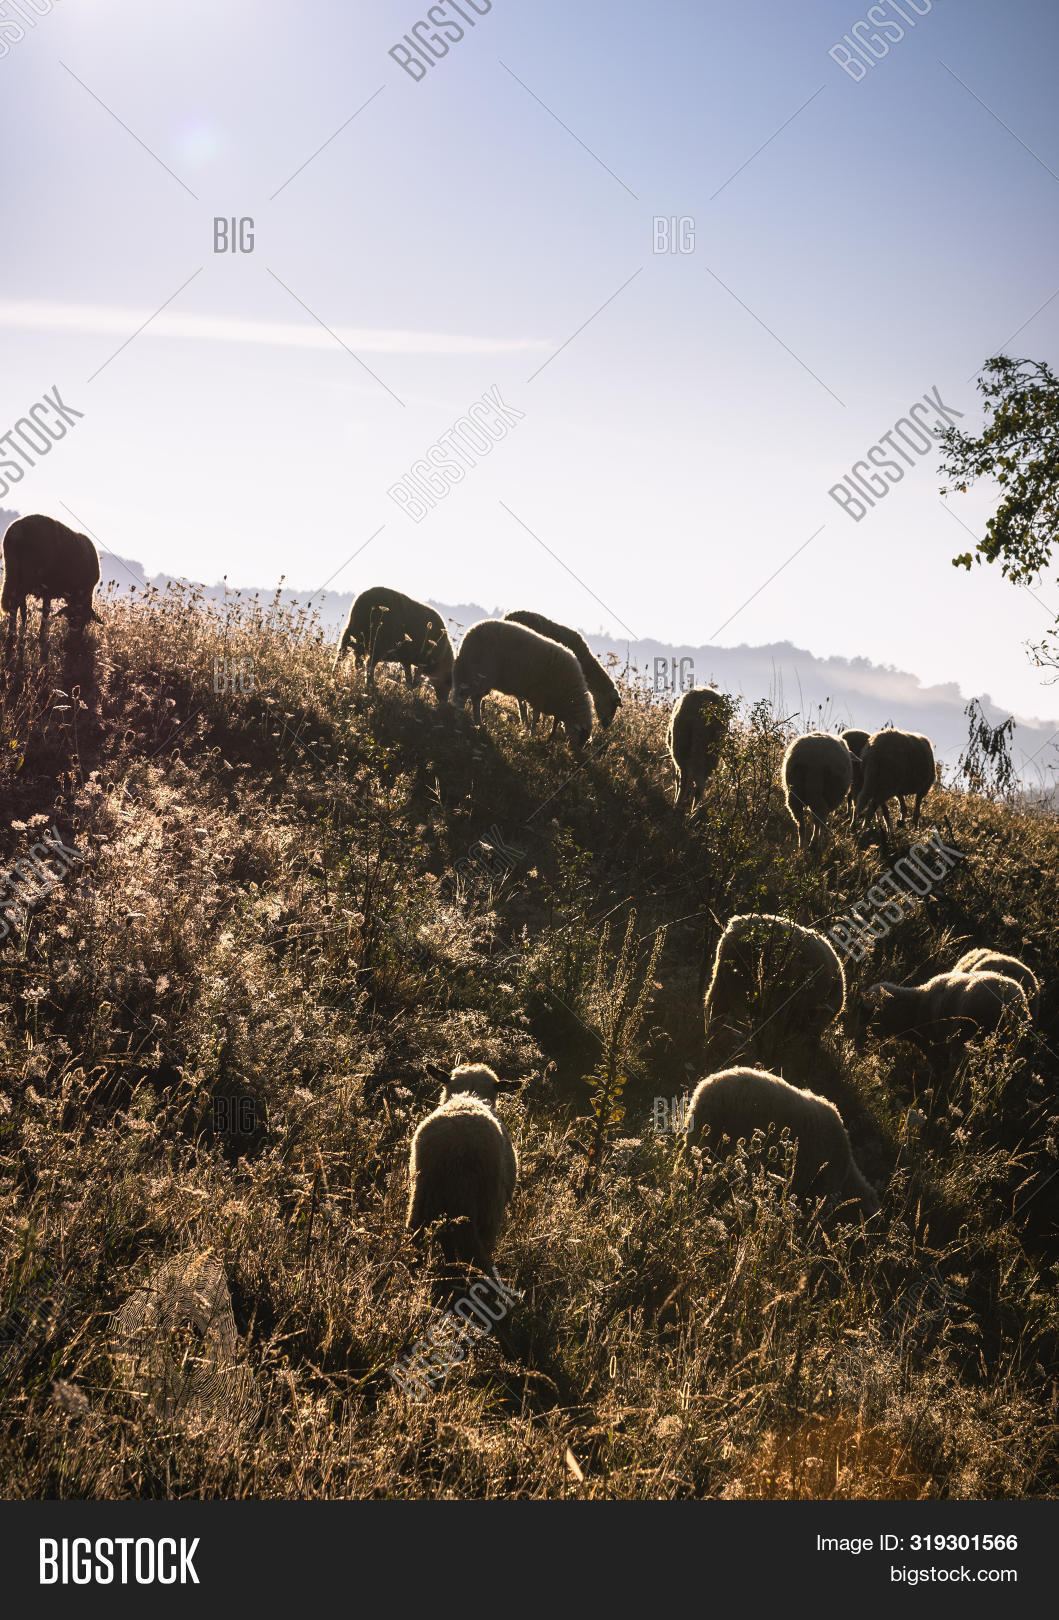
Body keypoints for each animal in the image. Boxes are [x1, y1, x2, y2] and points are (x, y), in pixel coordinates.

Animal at [406, 1062, 523, 1272]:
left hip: (423, 1196)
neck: (469, 1095)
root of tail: (458, 1148)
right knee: (480, 1248)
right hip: (487, 1207)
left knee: (419, 1237)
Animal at [450, 618, 593, 749]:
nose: (574, 754)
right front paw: (532, 734)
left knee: (475, 699)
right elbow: (536, 717)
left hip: (483, 679)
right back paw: (458, 720)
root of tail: (470, 632)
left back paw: (479, 724)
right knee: (462, 696)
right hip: (477, 672)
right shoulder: (539, 696)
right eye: (580, 739)